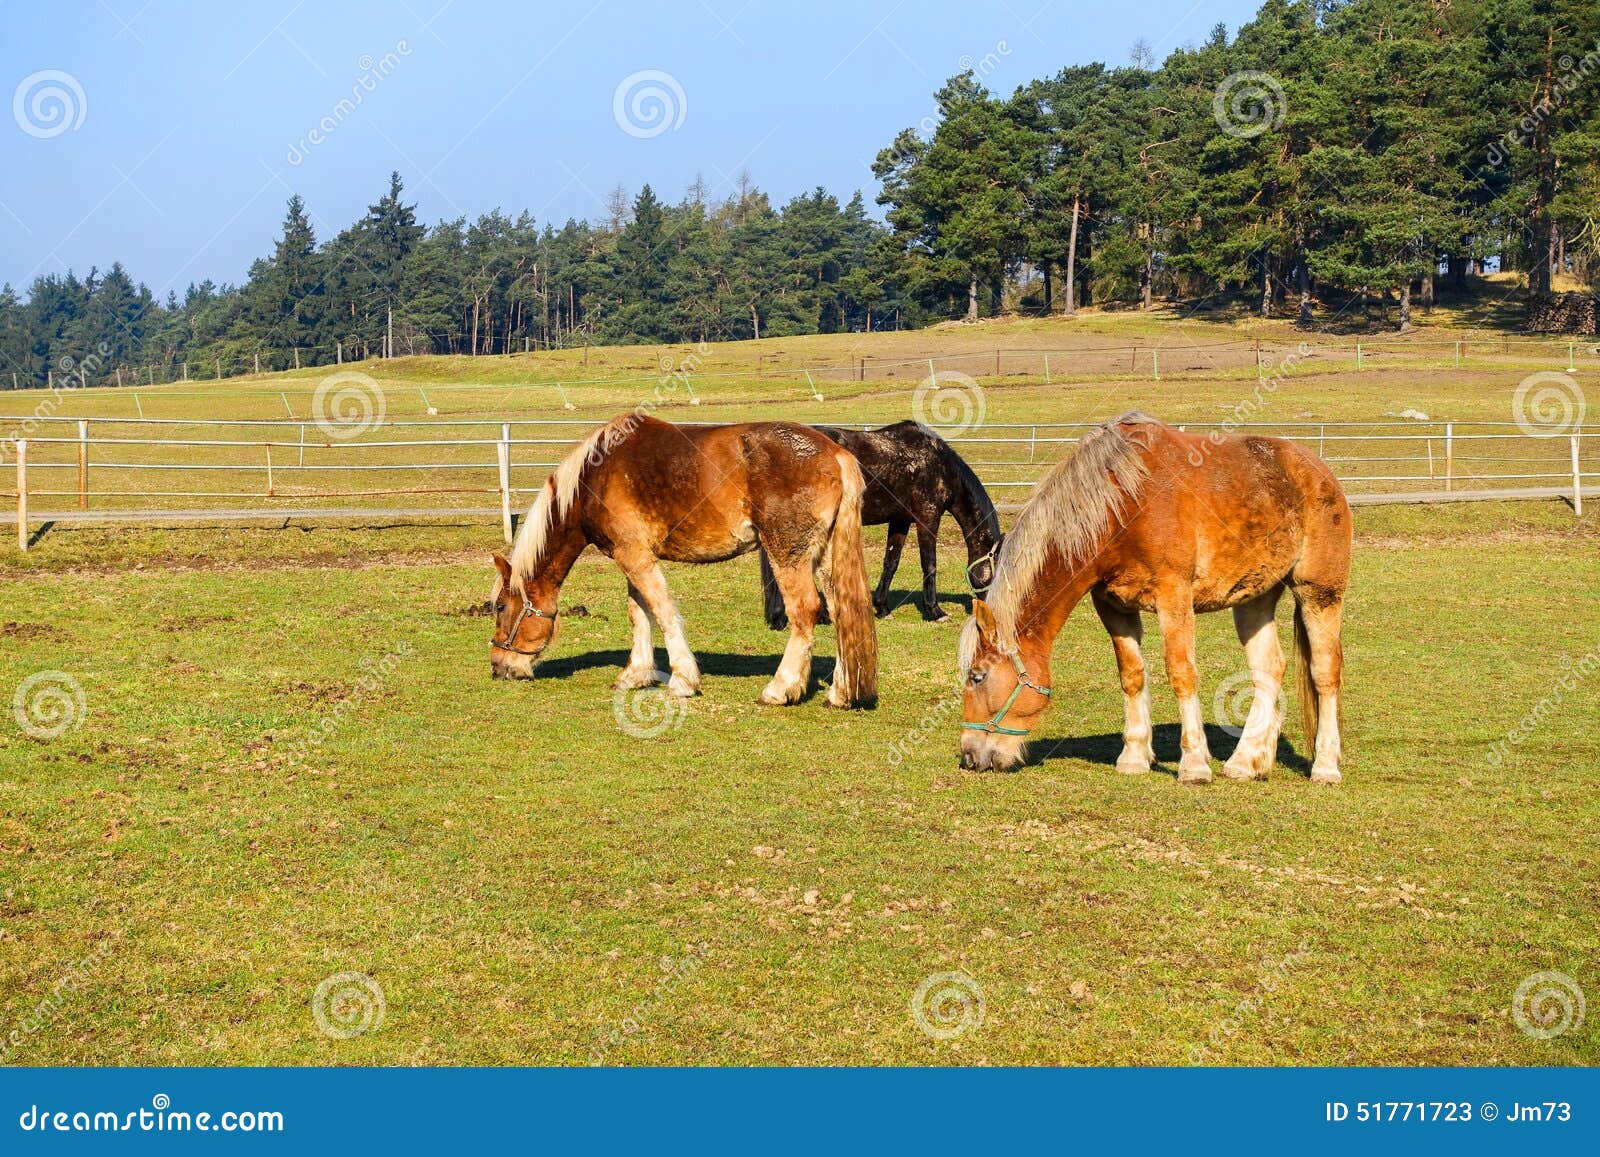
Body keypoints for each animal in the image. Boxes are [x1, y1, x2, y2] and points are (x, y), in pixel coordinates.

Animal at [489, 413, 878, 709]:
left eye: (500, 607)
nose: (497, 666)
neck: (593, 476)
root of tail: (836, 453)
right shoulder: (634, 556)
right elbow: (640, 613)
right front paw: (636, 674)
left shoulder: (634, 556)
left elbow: (661, 612)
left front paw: (682, 680)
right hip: (824, 558)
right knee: (840, 611)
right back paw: (840, 693)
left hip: (788, 554)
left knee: (805, 612)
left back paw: (780, 689)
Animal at [760, 420, 1002, 628]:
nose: (992, 609)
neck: (938, 465)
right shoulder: (928, 519)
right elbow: (929, 564)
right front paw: (935, 611)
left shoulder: (900, 521)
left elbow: (891, 563)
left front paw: (882, 607)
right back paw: (785, 618)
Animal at [958, 412, 1351, 785]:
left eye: (977, 677)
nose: (969, 756)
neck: (1123, 506)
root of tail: (1320, 471)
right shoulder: (1112, 606)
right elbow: (1132, 675)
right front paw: (1133, 756)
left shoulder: (1173, 597)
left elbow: (1181, 674)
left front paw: (1194, 765)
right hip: (1254, 600)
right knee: (1268, 670)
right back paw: (1246, 762)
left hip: (1320, 594)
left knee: (1325, 673)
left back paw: (1325, 767)